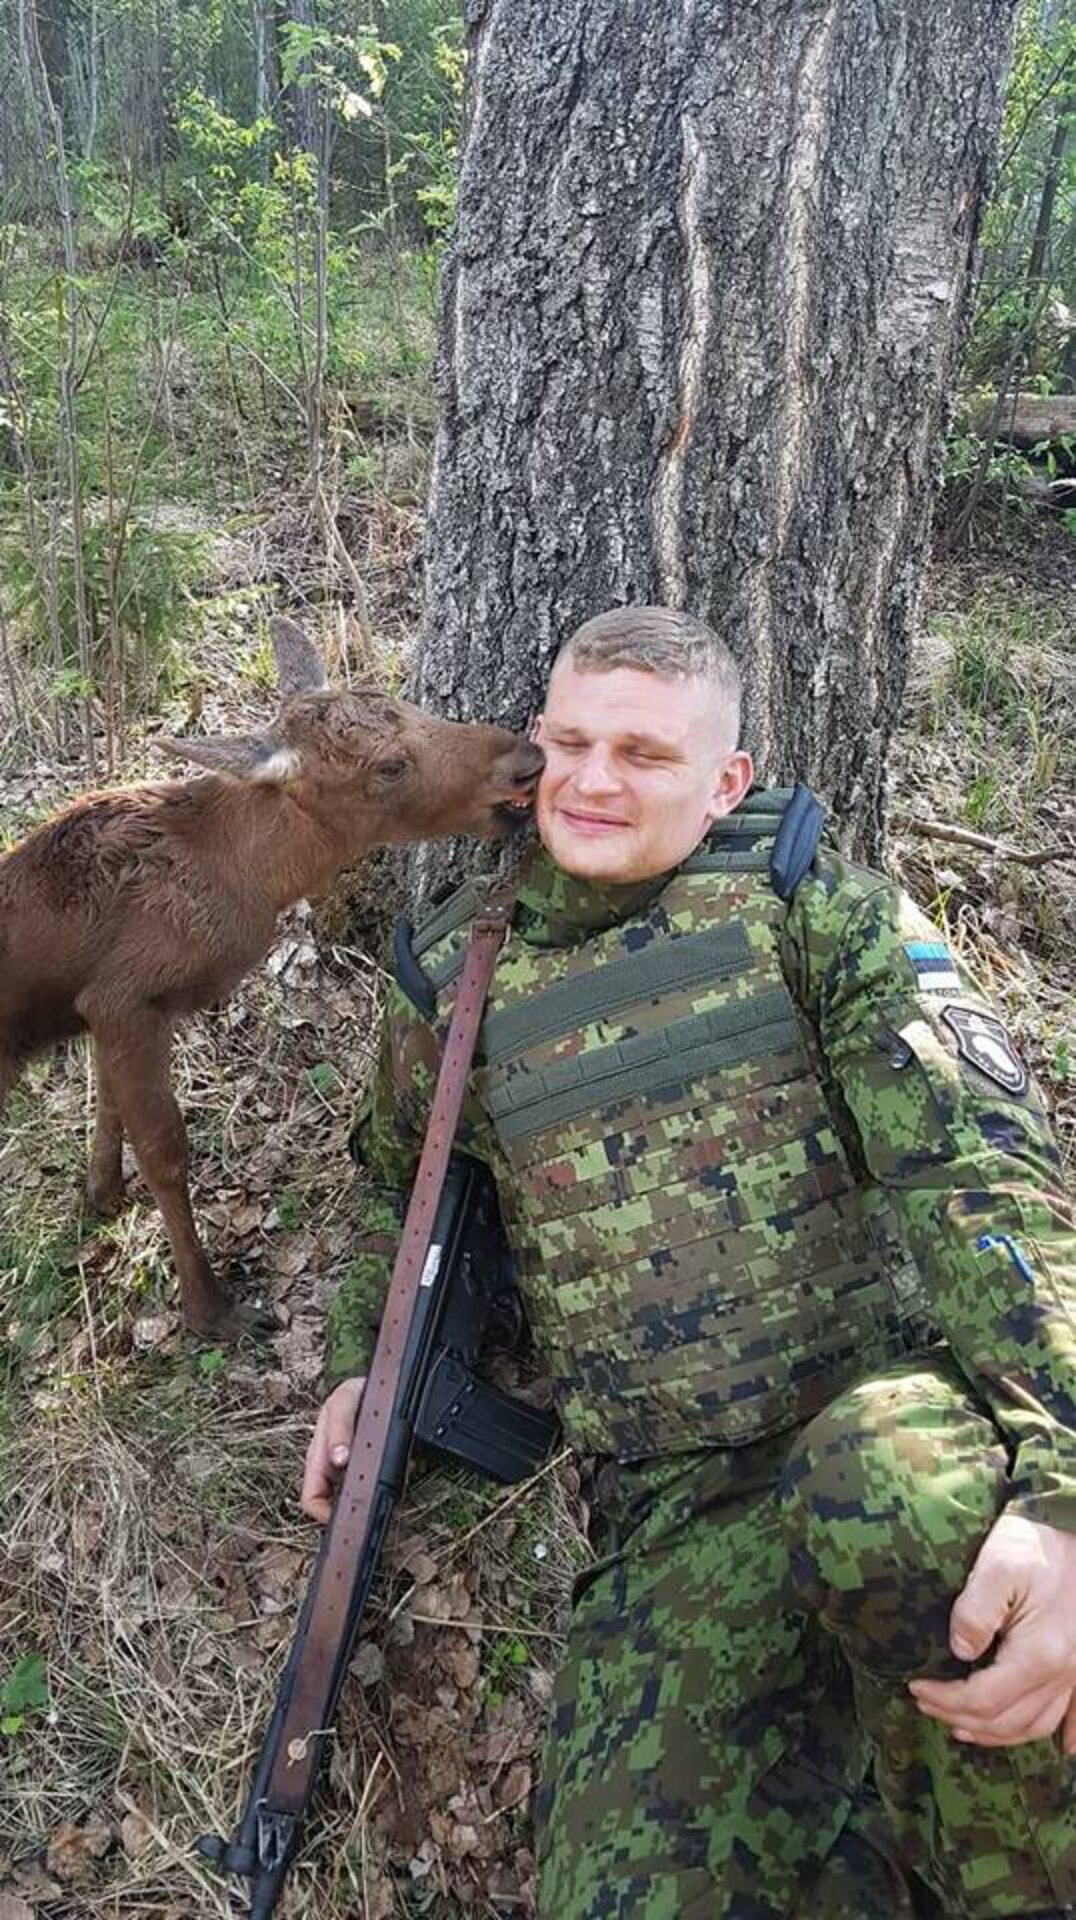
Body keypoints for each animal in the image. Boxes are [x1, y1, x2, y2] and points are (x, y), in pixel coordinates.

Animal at [0, 616, 543, 1336]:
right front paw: (210, 1309)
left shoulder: (102, 1005)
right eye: (388, 768)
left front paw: (102, 1194)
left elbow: (110, 1101)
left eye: (407, 704)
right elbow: (165, 1150)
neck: (250, 884)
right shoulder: (126, 997)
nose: (525, 757)